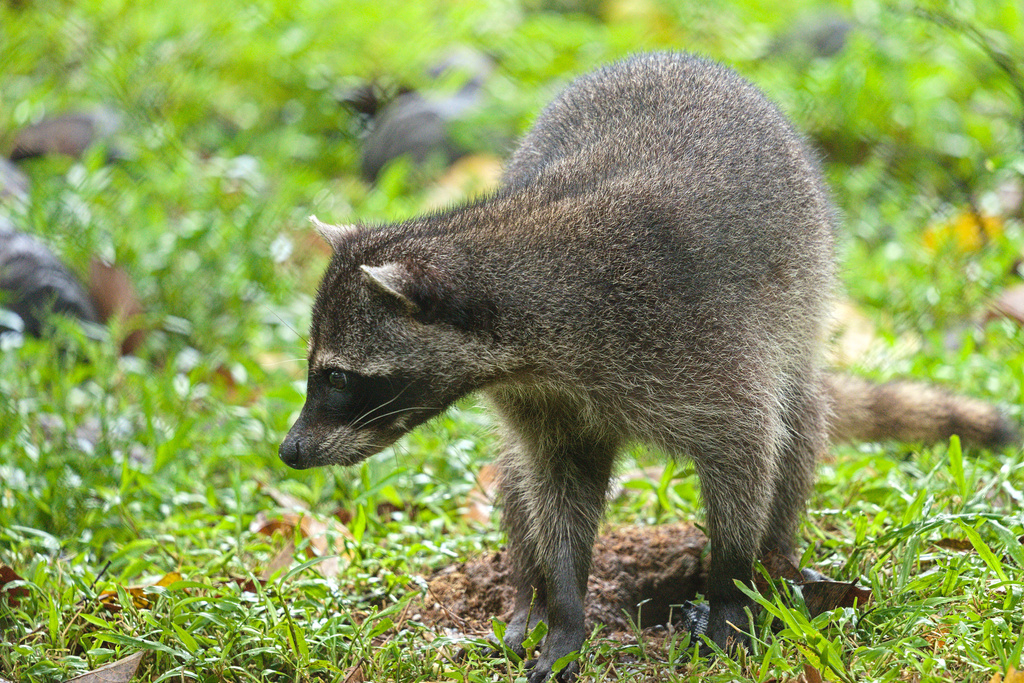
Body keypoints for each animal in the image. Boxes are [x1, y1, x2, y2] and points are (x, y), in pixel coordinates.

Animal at [280, 52, 1017, 681]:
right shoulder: (542, 403)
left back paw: (774, 561)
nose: (289, 450)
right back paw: (525, 588)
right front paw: (563, 607)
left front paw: (729, 588)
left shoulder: (695, 346)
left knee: (796, 425)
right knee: (518, 477)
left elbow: (748, 448)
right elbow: (557, 490)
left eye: (336, 378)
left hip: (801, 299)